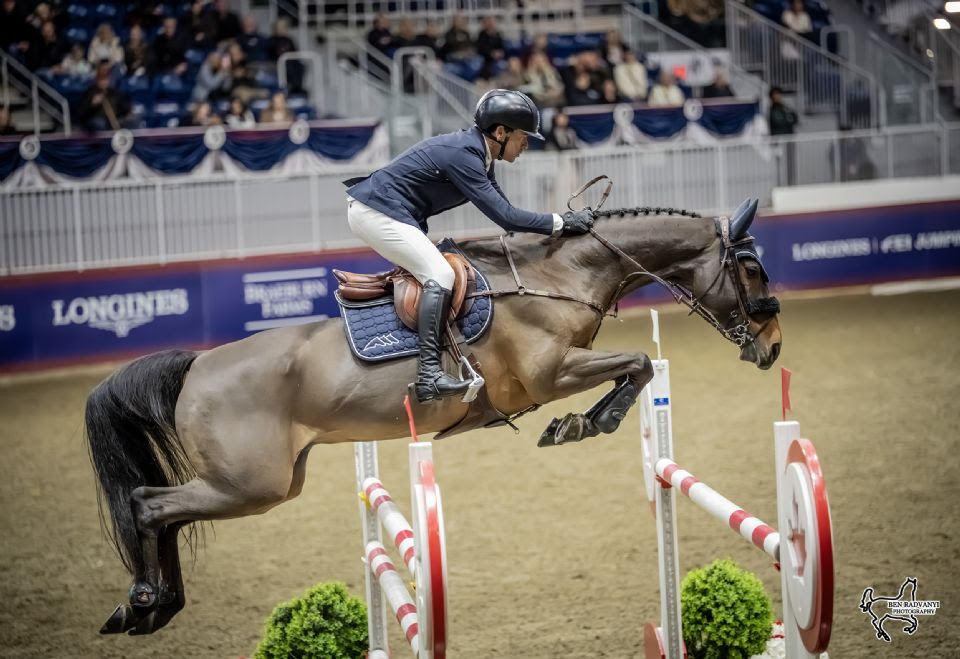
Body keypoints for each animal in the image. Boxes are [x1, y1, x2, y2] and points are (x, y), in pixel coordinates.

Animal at [85, 197, 782, 635]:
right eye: (750, 266)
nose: (773, 348)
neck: (559, 274)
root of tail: (196, 365)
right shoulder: (551, 372)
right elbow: (637, 362)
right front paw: (581, 424)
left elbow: (638, 365)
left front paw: (580, 424)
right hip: (251, 486)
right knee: (147, 504)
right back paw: (142, 602)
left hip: (263, 483)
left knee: (164, 512)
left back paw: (154, 608)